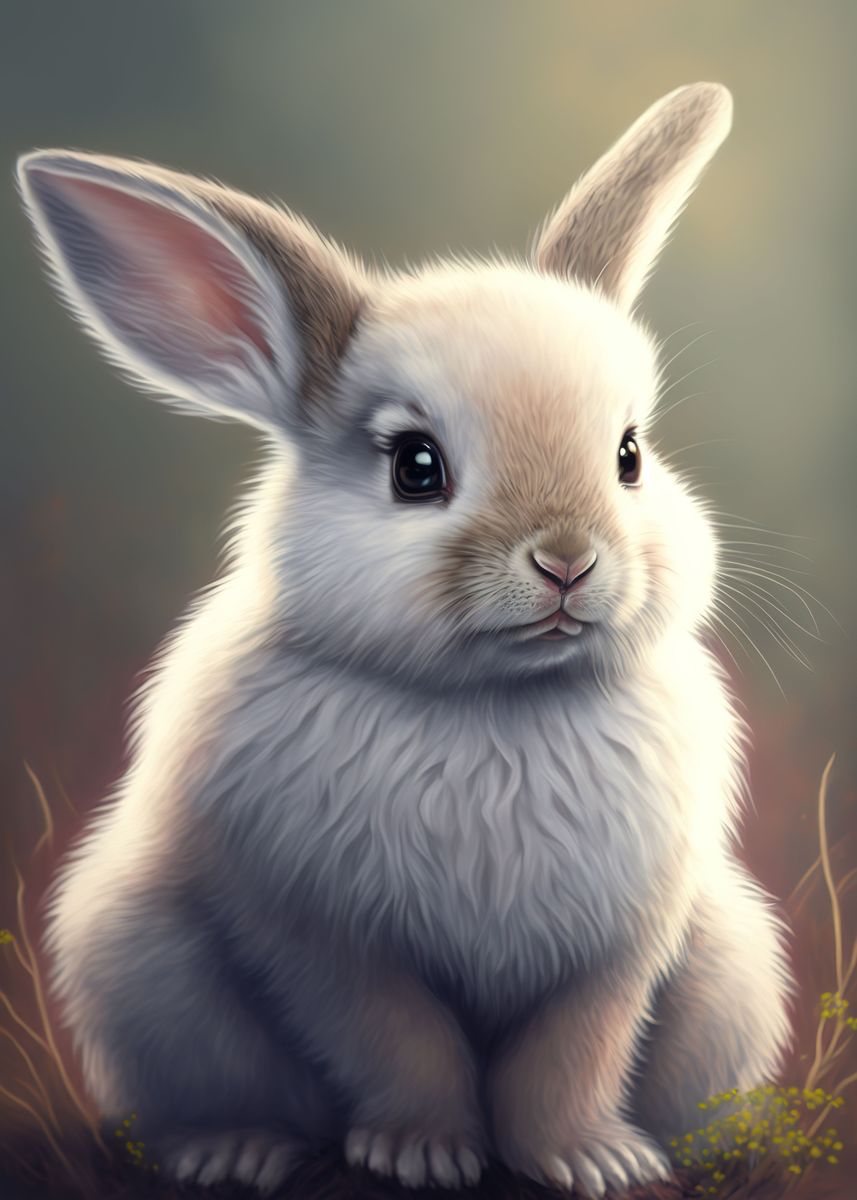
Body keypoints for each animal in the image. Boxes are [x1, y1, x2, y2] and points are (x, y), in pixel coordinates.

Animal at [17, 82, 793, 1198]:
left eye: (628, 455)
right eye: (414, 467)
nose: (567, 560)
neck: (497, 706)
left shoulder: (616, 948)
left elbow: (570, 1055)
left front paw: (589, 1161)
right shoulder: (319, 935)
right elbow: (396, 1042)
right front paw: (424, 1154)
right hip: (137, 961)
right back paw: (235, 1151)